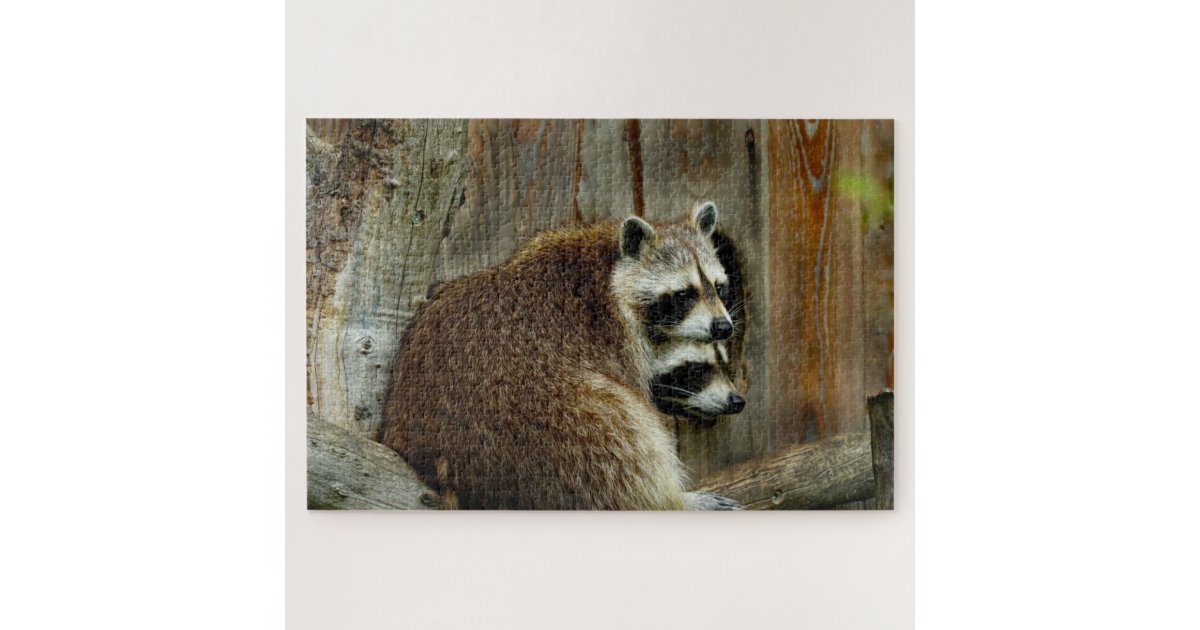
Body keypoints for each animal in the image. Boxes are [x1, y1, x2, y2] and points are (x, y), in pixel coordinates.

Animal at [378, 203, 733, 510]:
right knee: (622, 430)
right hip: (551, 427)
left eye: (718, 287)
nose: (723, 327)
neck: (606, 262)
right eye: (684, 295)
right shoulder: (614, 335)